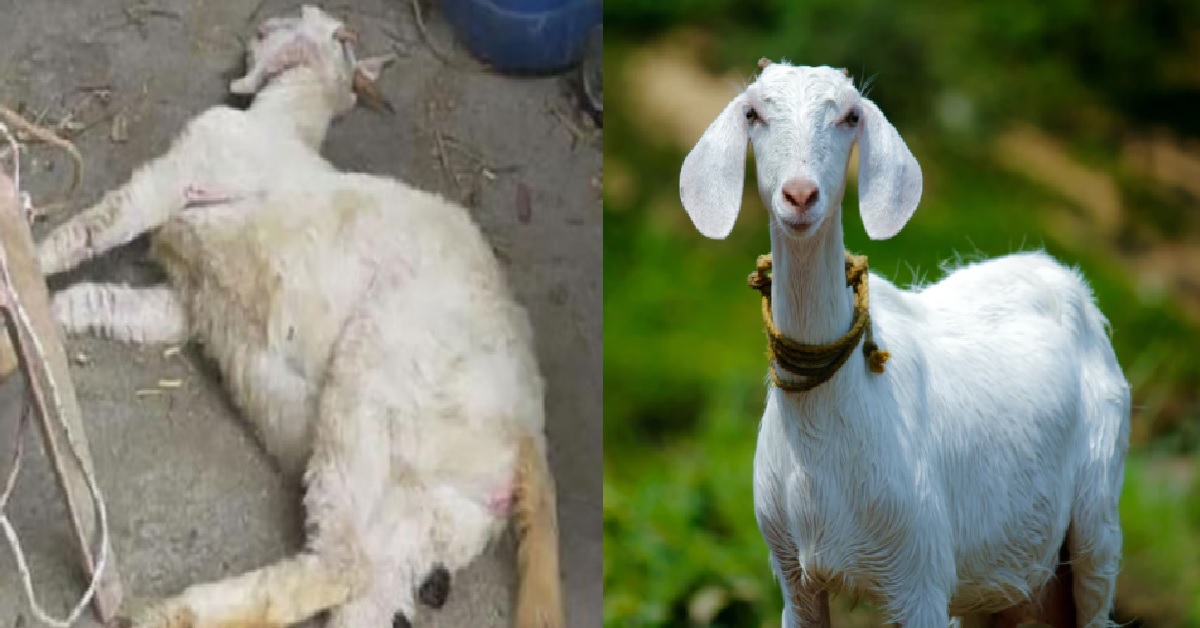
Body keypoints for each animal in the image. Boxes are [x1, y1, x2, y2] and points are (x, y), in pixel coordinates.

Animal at [34, 6, 563, 628]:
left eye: (291, 19)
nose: (259, 23)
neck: (288, 122)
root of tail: (528, 438)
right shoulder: (186, 304)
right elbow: (100, 301)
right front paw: (41, 324)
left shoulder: (174, 178)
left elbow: (83, 233)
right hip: (412, 520)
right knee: (358, 592)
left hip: (367, 397)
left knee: (340, 562)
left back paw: (166, 611)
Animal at [678, 59, 1130, 628]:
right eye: (754, 113)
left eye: (851, 115)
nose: (800, 196)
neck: (827, 426)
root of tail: (1063, 277)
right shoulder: (793, 578)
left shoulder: (920, 575)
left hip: (1098, 518)